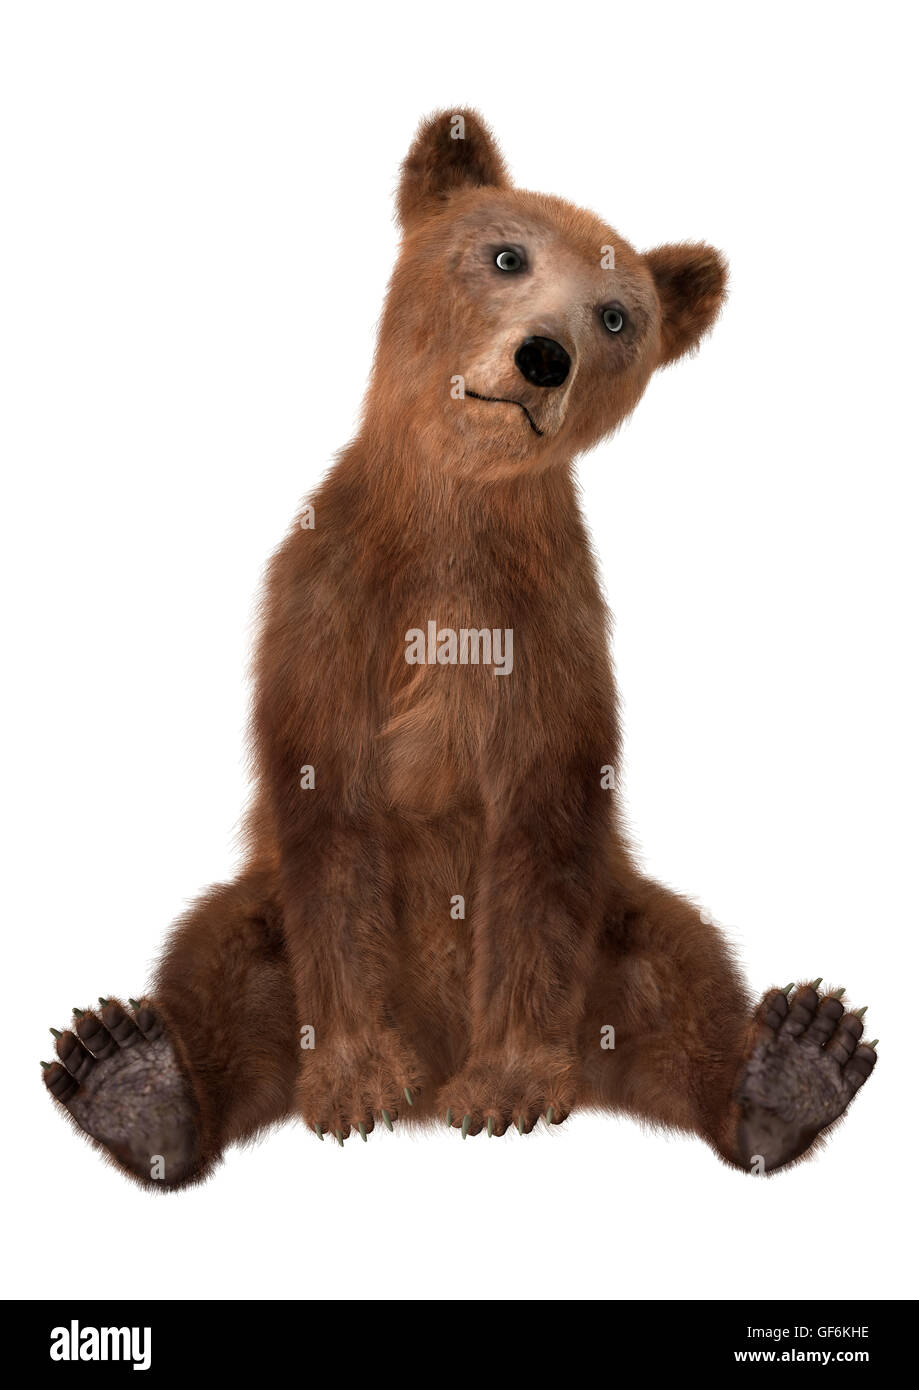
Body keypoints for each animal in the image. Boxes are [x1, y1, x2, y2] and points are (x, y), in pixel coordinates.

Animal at [42, 109, 877, 1188]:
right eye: (505, 253)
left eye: (616, 315)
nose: (545, 355)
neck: (454, 517)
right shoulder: (330, 607)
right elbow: (331, 821)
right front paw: (354, 1082)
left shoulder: (546, 632)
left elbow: (542, 824)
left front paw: (508, 1084)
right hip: (258, 928)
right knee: (215, 959)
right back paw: (135, 1079)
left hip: (618, 934)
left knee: (678, 968)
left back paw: (789, 1068)